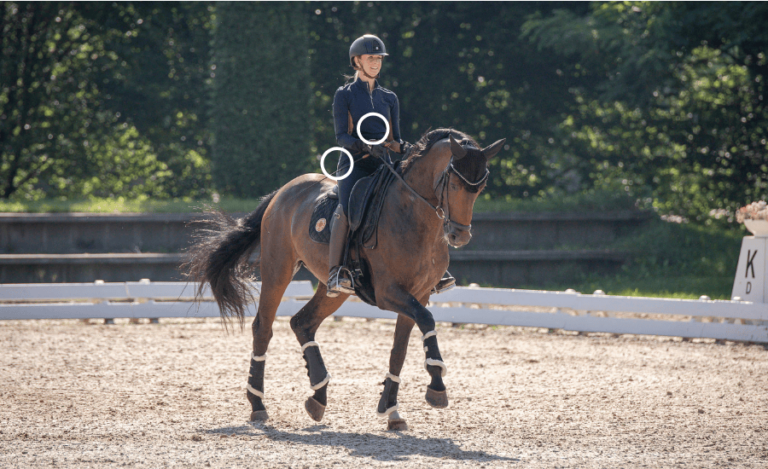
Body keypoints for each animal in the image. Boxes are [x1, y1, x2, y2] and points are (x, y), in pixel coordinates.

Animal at [185, 128, 505, 430]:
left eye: (480, 187)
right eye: (454, 184)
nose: (459, 236)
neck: (414, 215)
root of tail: (283, 192)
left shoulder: (420, 293)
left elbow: (399, 350)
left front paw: (391, 410)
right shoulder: (389, 292)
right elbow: (427, 321)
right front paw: (437, 386)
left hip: (334, 289)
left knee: (302, 322)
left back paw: (318, 397)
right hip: (278, 269)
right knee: (263, 328)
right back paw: (258, 405)